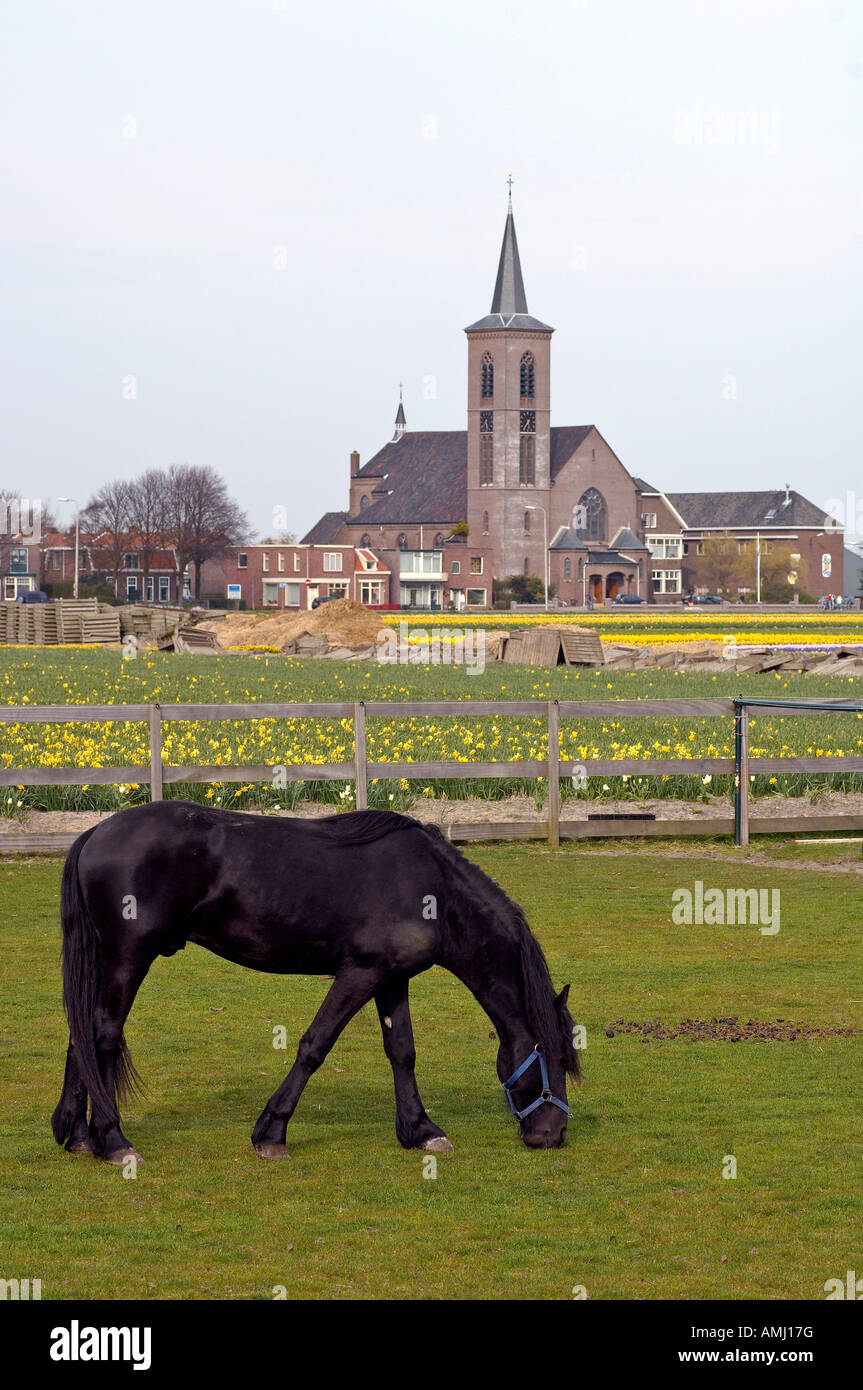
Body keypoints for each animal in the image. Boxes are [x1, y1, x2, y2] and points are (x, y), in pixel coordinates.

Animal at [51, 801, 579, 1164]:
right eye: (553, 1058)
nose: (552, 1135)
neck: (434, 888)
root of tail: (94, 832)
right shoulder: (360, 973)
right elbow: (314, 1045)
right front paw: (271, 1132)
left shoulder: (392, 978)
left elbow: (402, 1052)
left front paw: (421, 1129)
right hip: (127, 958)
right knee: (103, 1034)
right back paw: (114, 1141)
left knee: (82, 1034)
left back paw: (77, 1135)